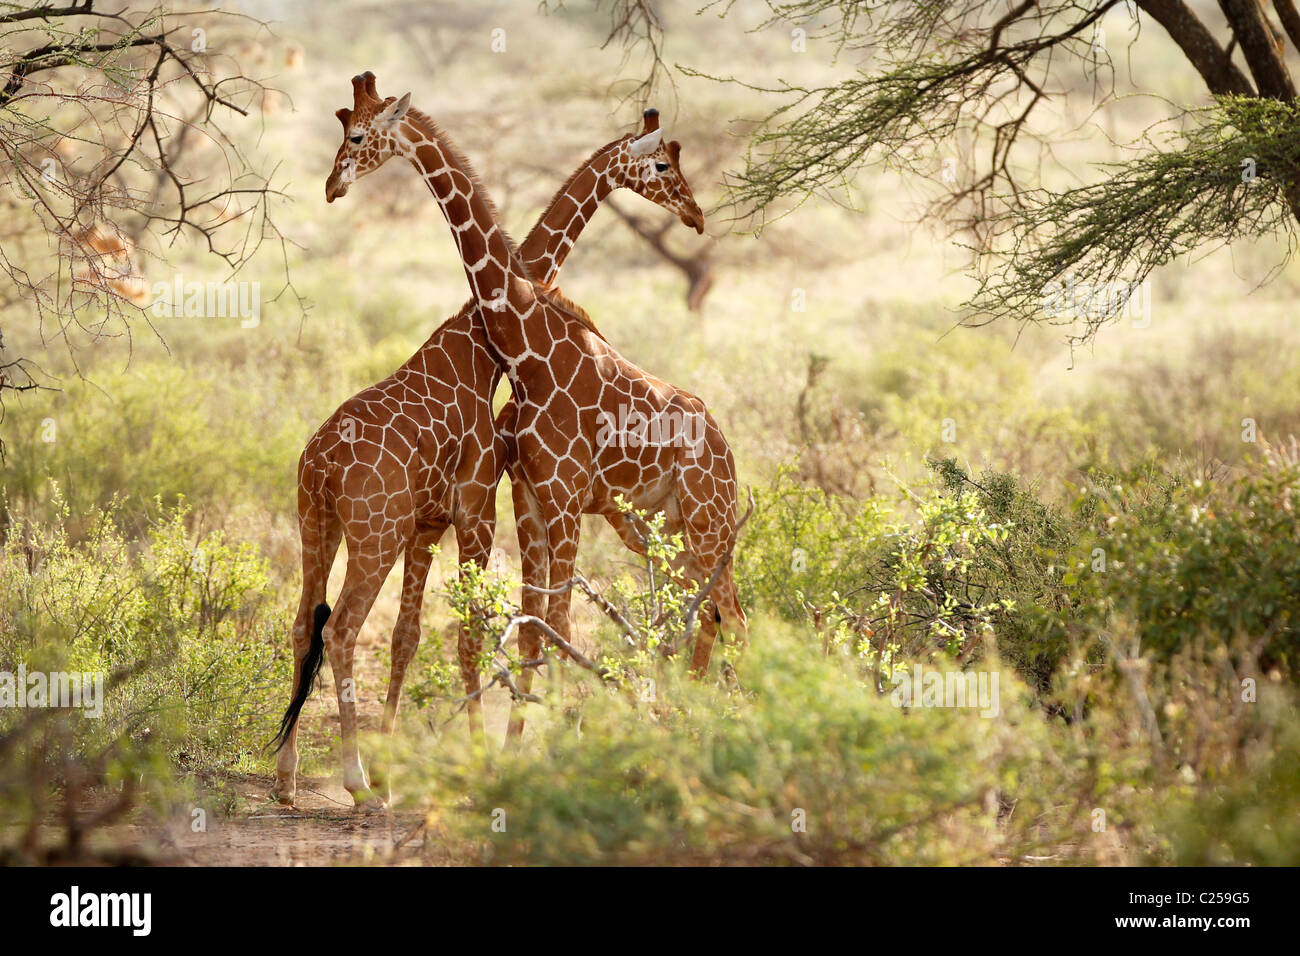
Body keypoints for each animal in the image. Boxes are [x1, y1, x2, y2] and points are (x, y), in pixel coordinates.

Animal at [271, 71, 704, 807]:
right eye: (662, 166)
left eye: (354, 134)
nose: (697, 215)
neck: (481, 348)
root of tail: (322, 464)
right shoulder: (477, 510)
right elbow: (473, 630)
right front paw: (467, 759)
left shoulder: (431, 523)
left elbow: (414, 634)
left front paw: (403, 758)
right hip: (373, 532)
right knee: (345, 626)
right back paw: (355, 781)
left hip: (316, 521)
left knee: (307, 622)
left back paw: (287, 776)